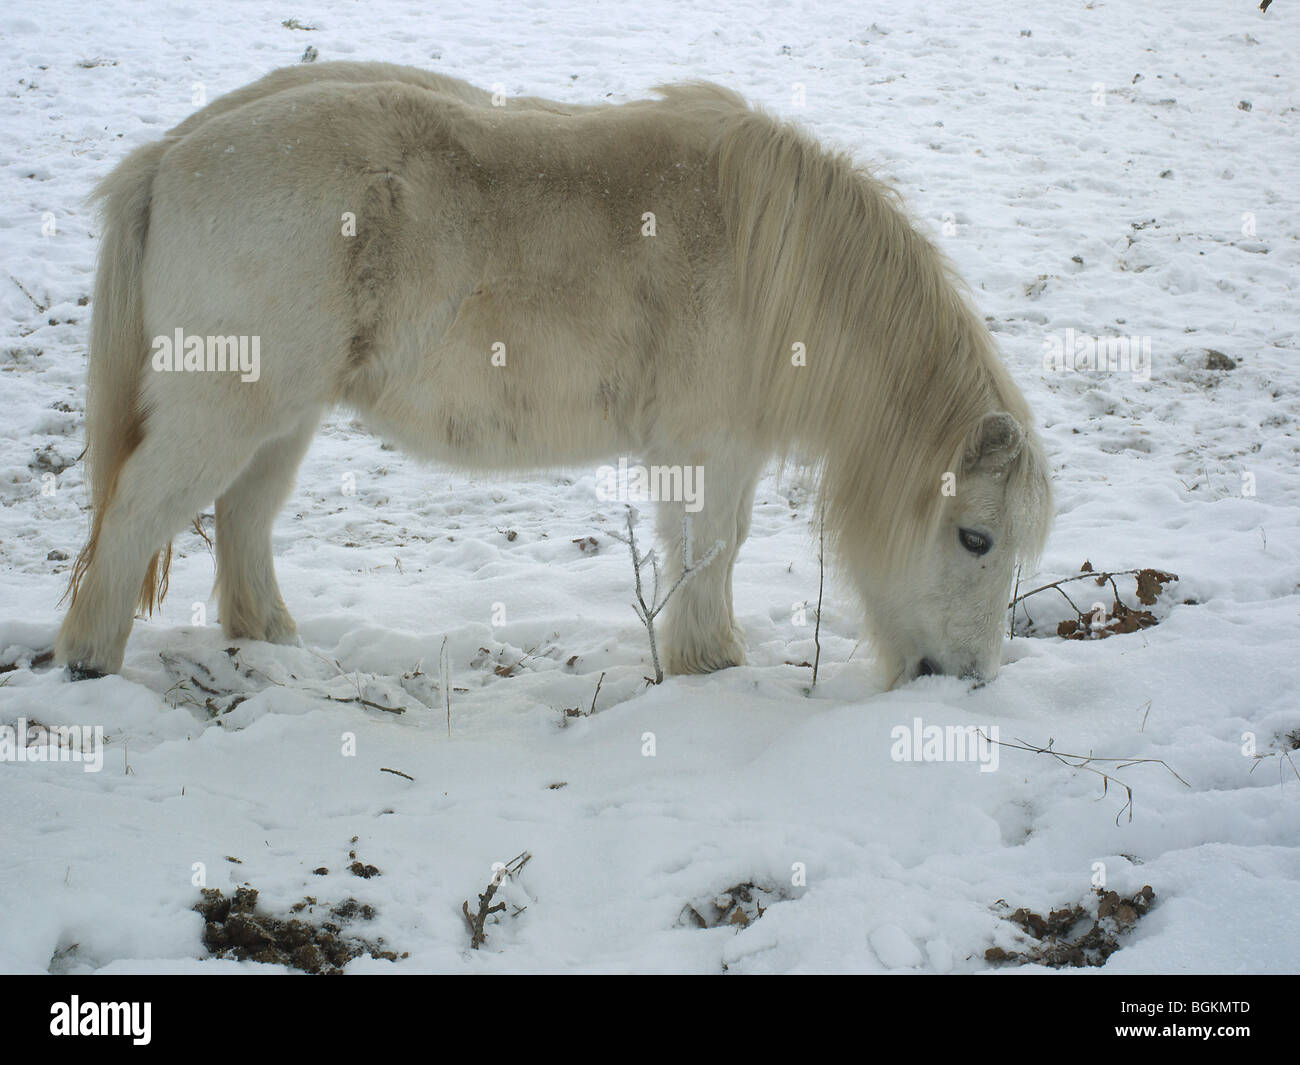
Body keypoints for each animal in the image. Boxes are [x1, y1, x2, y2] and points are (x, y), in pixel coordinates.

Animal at [56, 62, 1053, 687]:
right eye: (976, 539)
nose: (967, 680)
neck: (772, 259)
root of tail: (171, 155)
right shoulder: (708, 448)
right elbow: (713, 548)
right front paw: (712, 668)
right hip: (228, 409)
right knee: (140, 514)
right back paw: (88, 661)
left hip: (284, 418)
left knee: (243, 520)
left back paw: (273, 646)